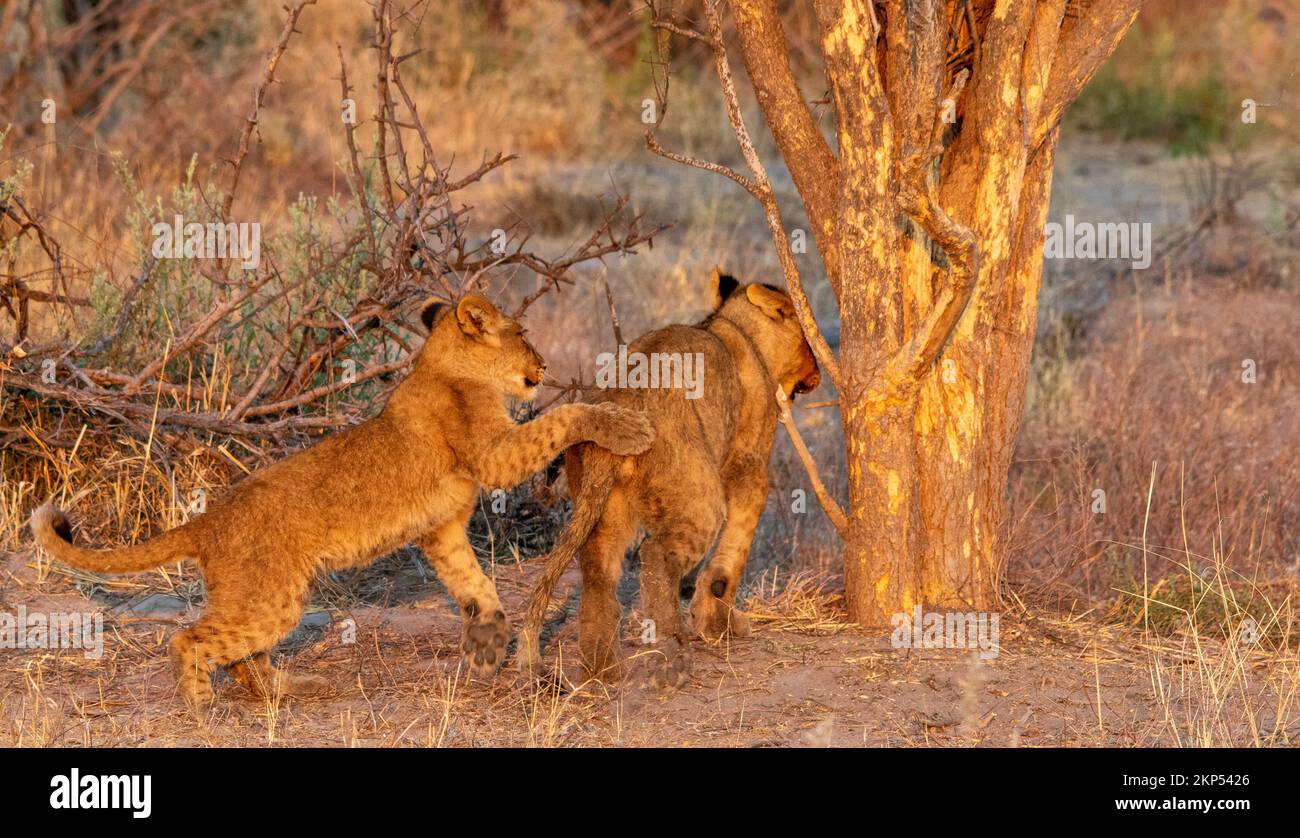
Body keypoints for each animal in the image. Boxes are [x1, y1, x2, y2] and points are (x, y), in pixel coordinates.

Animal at [30, 294, 654, 708]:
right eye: (522, 332)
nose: (544, 365)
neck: (444, 364)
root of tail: (210, 519)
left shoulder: (443, 529)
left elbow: (477, 586)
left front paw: (487, 646)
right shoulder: (495, 453)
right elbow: (564, 416)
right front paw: (627, 425)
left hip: (261, 599)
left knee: (245, 658)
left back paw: (294, 687)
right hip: (270, 598)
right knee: (192, 640)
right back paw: (201, 703)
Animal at [517, 271, 821, 688]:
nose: (820, 374)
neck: (736, 329)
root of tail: (621, 407)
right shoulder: (748, 464)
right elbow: (736, 546)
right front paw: (720, 622)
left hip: (608, 505)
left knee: (597, 567)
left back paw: (604, 669)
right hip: (699, 496)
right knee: (656, 556)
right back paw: (674, 653)